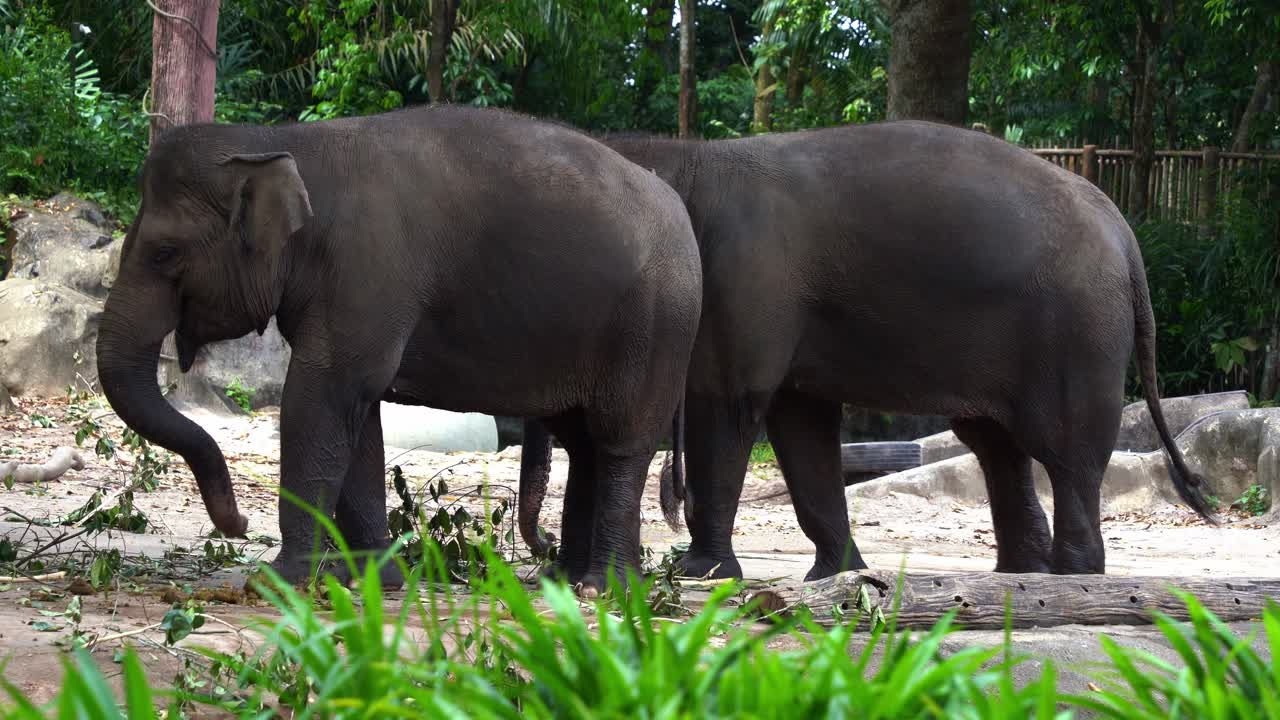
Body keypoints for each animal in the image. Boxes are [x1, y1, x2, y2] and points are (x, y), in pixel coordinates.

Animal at [96, 104, 703, 595]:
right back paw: (566, 579)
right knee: (585, 442)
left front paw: (276, 581)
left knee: (621, 441)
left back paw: (604, 588)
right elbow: (356, 418)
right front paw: (374, 580)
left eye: (164, 253)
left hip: (656, 328)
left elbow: (319, 398)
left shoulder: (367, 274)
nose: (238, 523)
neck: (279, 140)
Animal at [518, 119, 1215, 583]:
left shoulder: (746, 284)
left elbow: (730, 405)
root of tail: (1124, 233)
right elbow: (799, 424)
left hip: (1075, 332)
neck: (683, 155)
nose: (547, 554)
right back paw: (1022, 574)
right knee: (996, 443)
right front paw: (834, 576)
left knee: (1064, 451)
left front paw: (701, 573)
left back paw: (1072, 574)